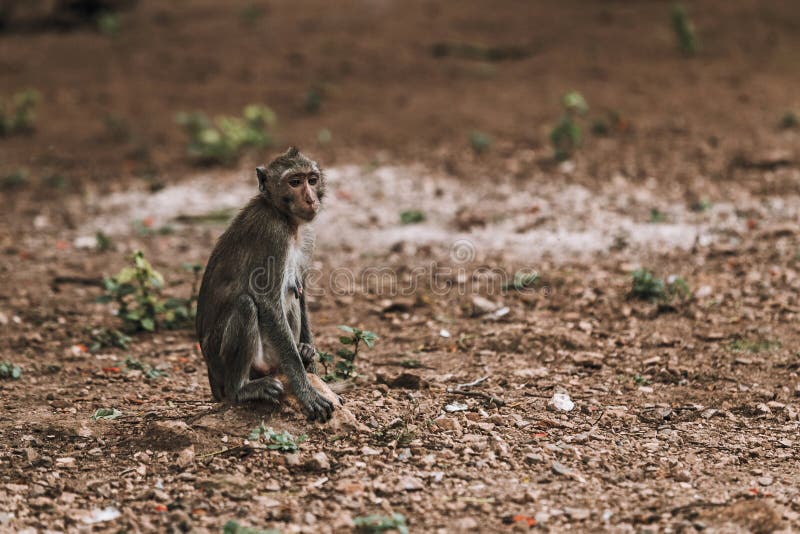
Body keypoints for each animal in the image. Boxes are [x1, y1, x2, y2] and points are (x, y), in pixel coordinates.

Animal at [195, 146, 335, 422]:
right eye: (295, 182)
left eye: (312, 180)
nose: (311, 199)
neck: (283, 215)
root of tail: (213, 381)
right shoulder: (273, 235)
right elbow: (268, 303)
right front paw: (306, 391)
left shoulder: (307, 237)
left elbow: (301, 291)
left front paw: (310, 360)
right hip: (223, 359)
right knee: (246, 305)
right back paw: (241, 389)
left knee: (291, 294)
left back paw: (302, 351)